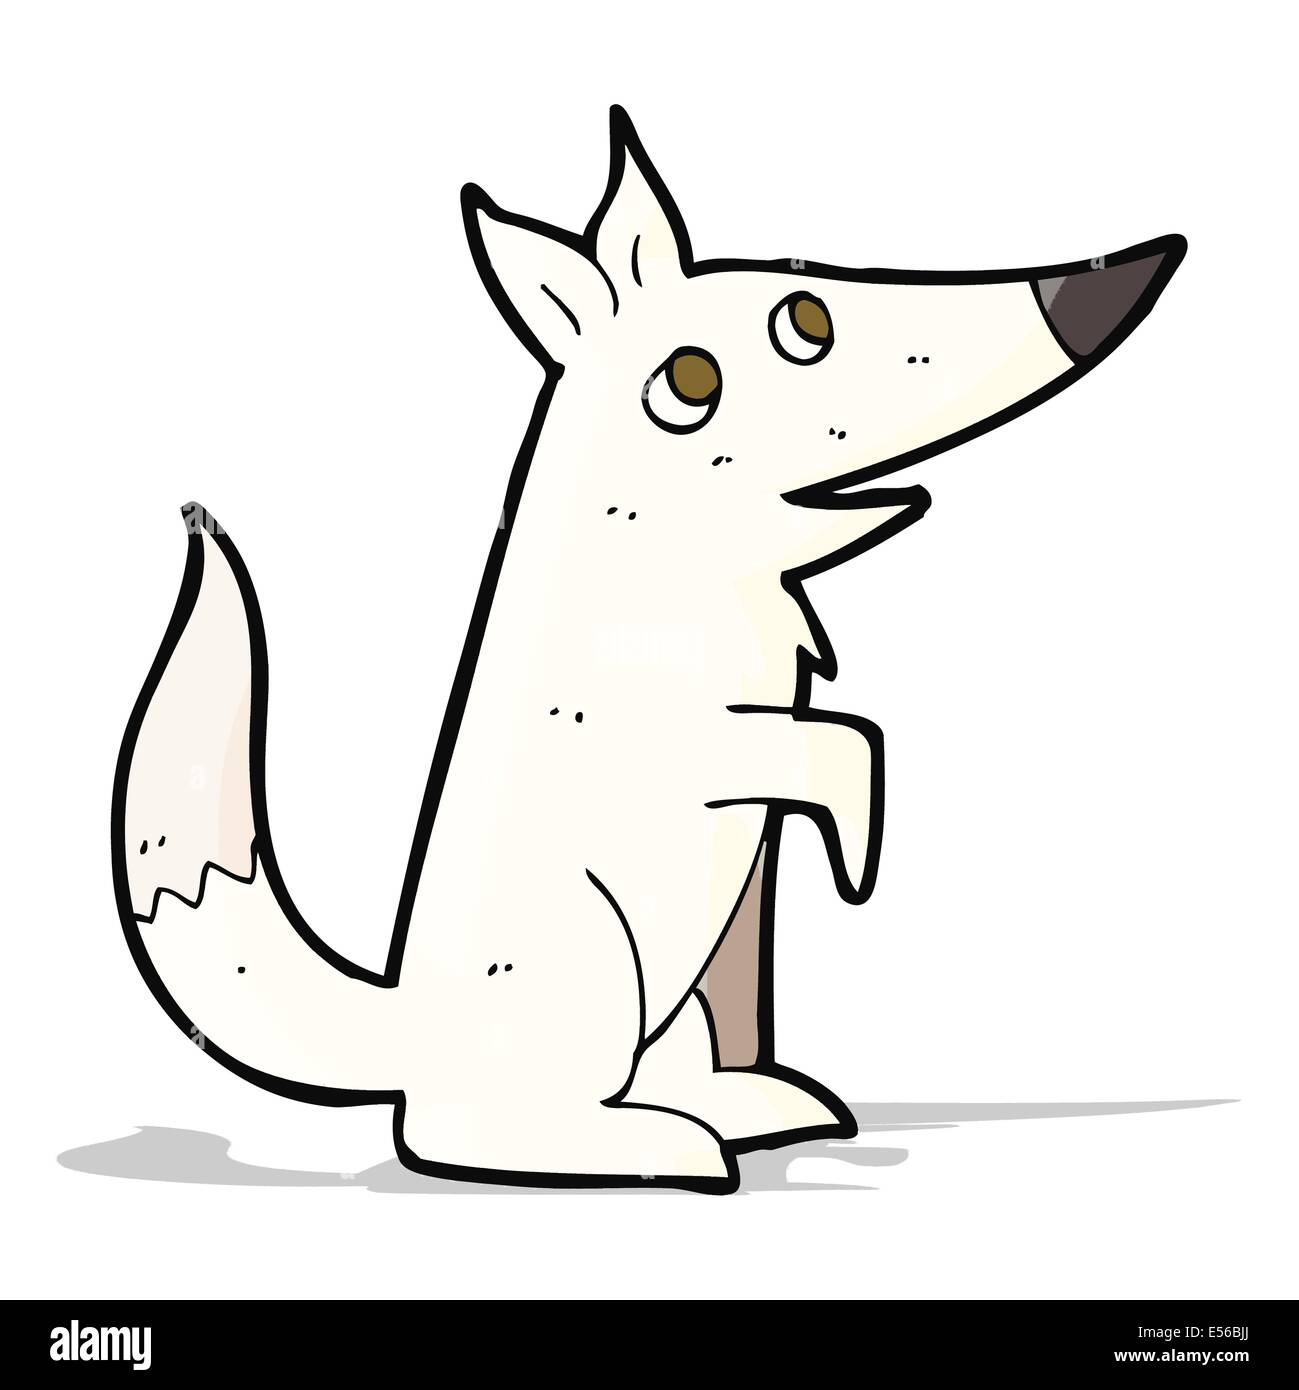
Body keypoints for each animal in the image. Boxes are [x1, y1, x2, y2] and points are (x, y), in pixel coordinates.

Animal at [112, 108, 1184, 1192]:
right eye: (807, 320)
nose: (1091, 291)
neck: (672, 552)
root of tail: (412, 1025)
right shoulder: (679, 744)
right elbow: (842, 744)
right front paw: (857, 845)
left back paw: (740, 1107)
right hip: (585, 959)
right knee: (465, 1134)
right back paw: (649, 1145)